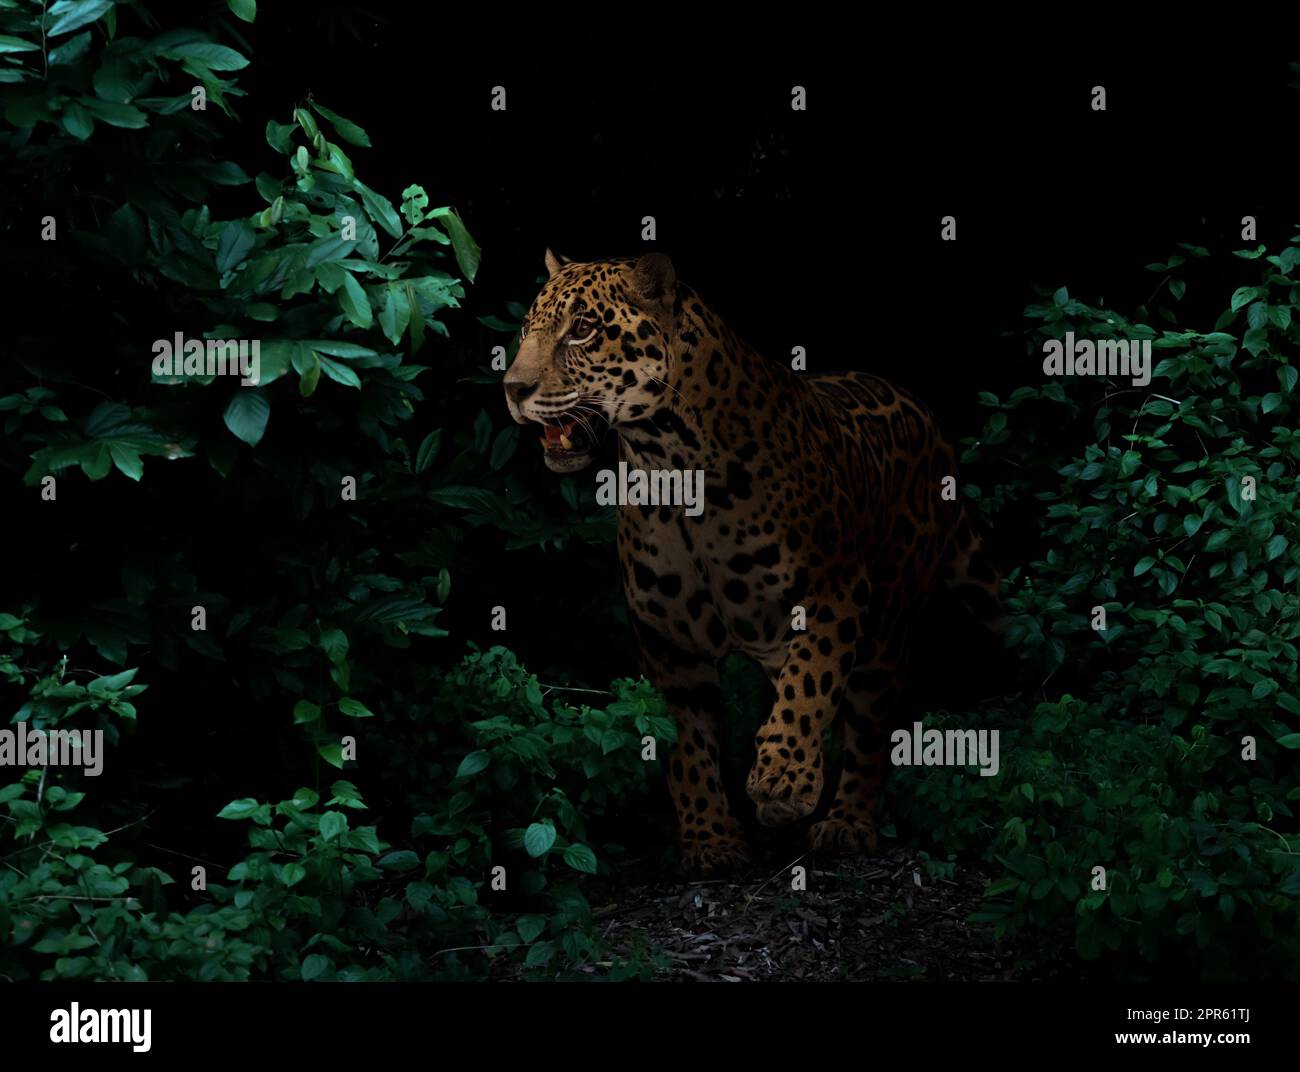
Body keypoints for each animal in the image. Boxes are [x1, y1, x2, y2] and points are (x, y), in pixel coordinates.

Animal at [504, 250, 1006, 875]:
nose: (512, 387)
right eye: (528, 329)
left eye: (582, 330)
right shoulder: (669, 636)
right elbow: (688, 746)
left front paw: (784, 779)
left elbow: (811, 679)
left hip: (888, 620)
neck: (670, 464)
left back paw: (846, 821)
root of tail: (930, 422)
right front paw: (711, 840)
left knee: (869, 721)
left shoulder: (834, 588)